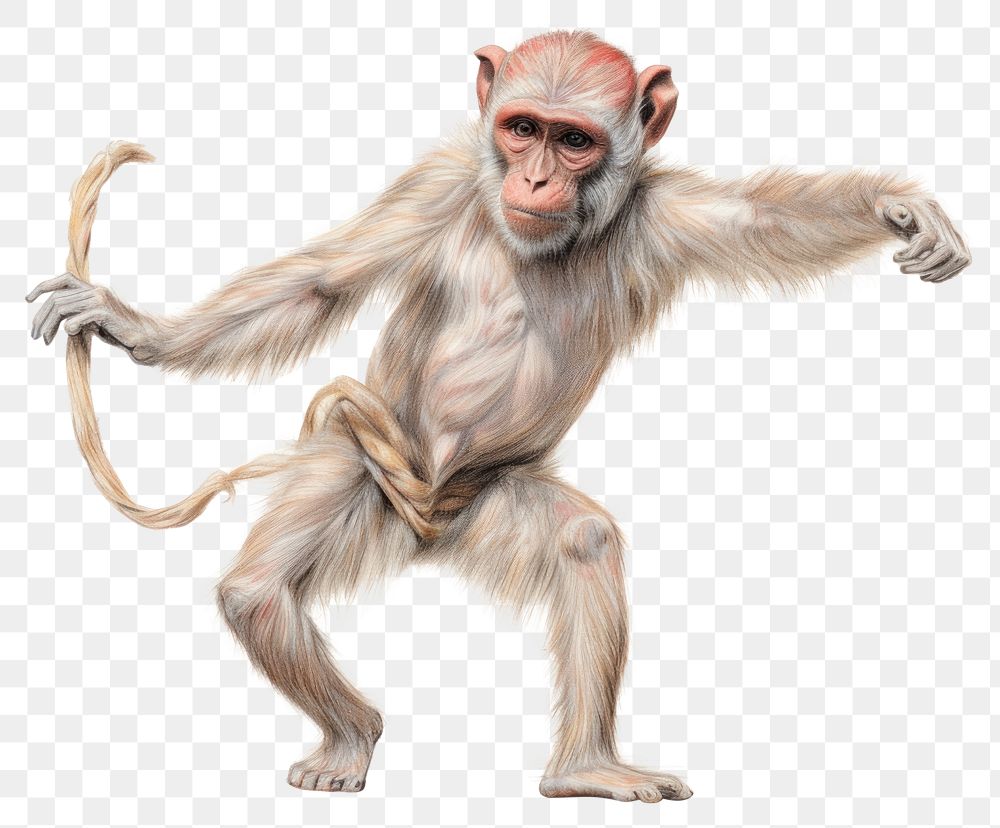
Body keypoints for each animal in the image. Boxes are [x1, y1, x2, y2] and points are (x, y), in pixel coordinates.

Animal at [26, 31, 969, 803]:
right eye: (522, 127)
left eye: (575, 139)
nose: (537, 176)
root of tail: (426, 522)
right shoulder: (433, 181)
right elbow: (321, 283)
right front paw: (138, 328)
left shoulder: (665, 213)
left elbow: (767, 217)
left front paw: (894, 206)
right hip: (362, 458)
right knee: (257, 595)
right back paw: (353, 735)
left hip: (484, 498)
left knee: (581, 542)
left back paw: (580, 768)